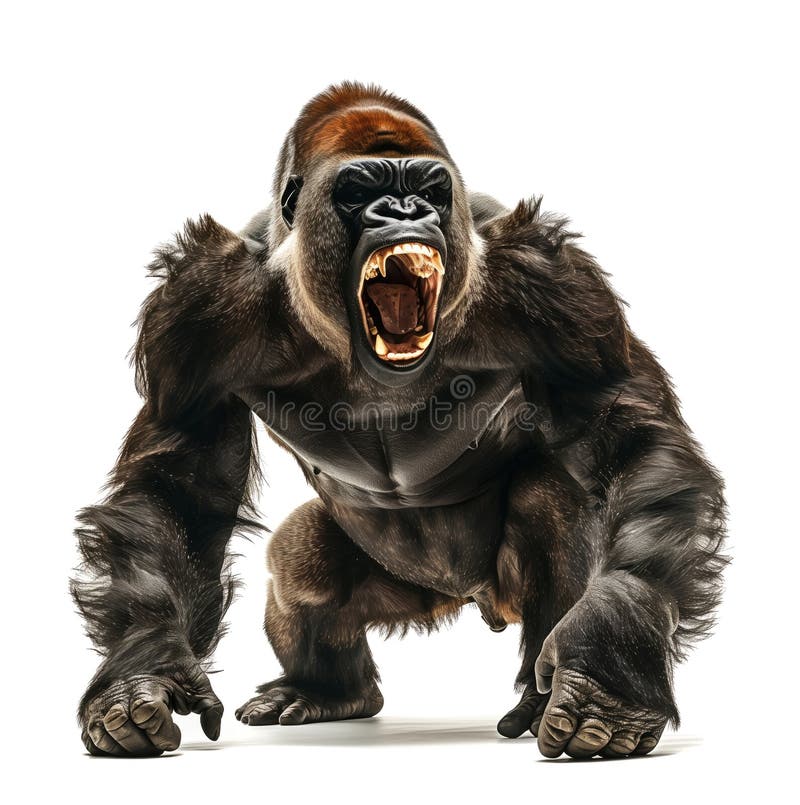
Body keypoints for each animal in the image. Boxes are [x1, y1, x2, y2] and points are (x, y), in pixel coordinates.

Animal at [72, 82, 727, 759]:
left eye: (431, 189)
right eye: (360, 190)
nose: (405, 210)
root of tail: (468, 596)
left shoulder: (553, 288)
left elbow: (633, 446)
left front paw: (608, 667)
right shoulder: (198, 312)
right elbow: (179, 494)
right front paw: (145, 671)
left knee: (551, 505)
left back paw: (537, 693)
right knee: (301, 557)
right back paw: (331, 692)